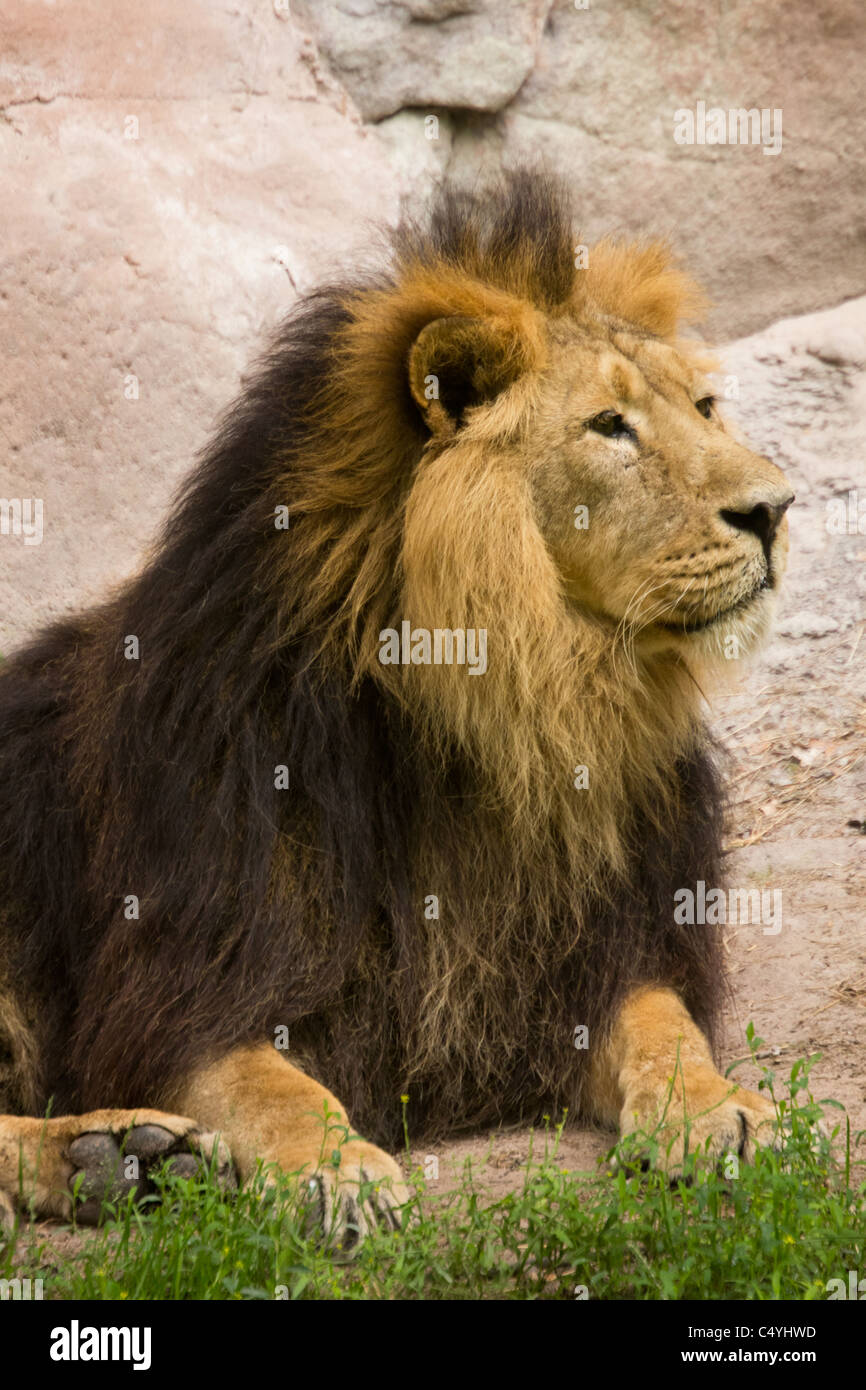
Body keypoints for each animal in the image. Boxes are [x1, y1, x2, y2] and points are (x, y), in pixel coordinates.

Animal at [0, 171, 793, 1246]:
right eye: (608, 427)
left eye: (706, 407)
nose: (776, 509)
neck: (506, 719)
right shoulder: (183, 978)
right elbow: (267, 1084)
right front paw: (336, 1170)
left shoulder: (594, 956)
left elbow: (663, 1028)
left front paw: (718, 1114)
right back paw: (108, 1153)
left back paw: (126, 1161)